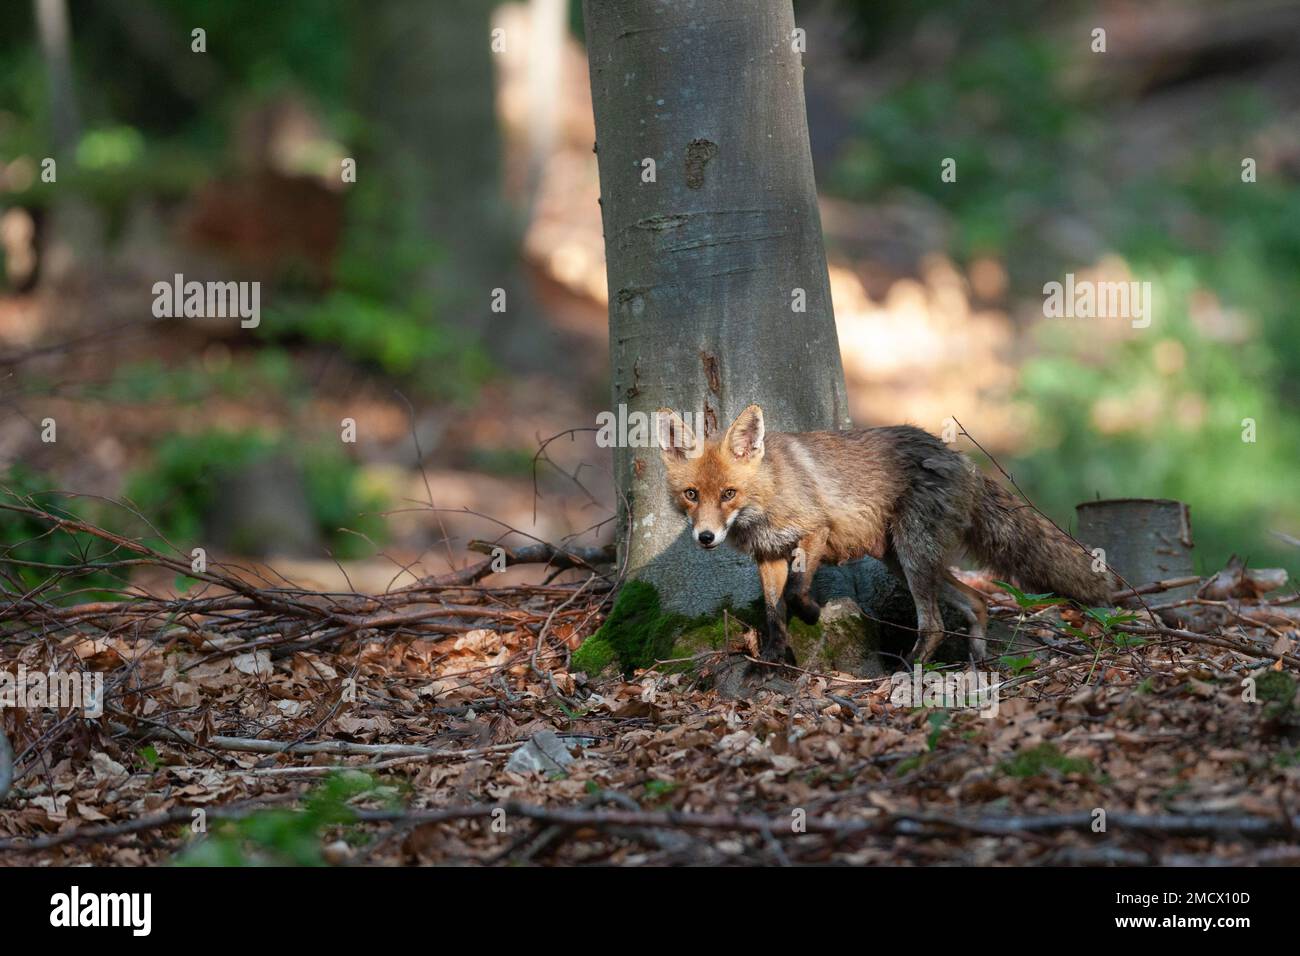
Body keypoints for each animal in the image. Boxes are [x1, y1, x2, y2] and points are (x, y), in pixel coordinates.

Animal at [656, 404, 1114, 666]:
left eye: (728, 494)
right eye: (692, 494)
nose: (706, 537)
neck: (768, 495)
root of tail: (958, 458)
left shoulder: (815, 530)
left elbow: (797, 593)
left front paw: (811, 615)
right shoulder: (768, 557)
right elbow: (773, 611)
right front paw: (771, 657)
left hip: (911, 556)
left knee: (935, 625)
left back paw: (909, 668)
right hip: (901, 560)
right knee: (977, 602)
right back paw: (977, 661)